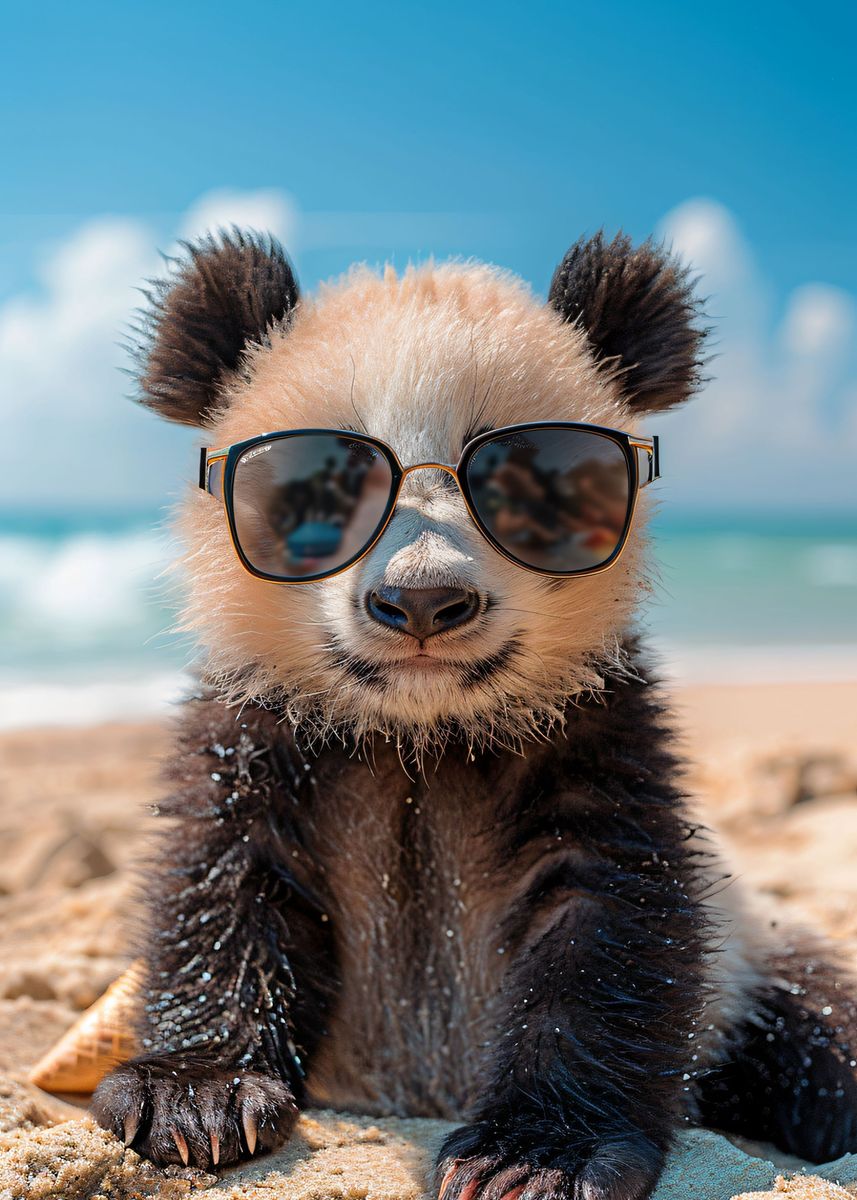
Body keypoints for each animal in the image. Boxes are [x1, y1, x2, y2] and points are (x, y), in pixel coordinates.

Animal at [92, 230, 857, 1198]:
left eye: (530, 485)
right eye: (317, 489)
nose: (422, 602)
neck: (419, 732)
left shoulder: (591, 727)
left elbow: (609, 917)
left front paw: (532, 1154)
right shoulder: (262, 726)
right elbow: (221, 880)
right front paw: (193, 1097)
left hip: (755, 959)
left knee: (821, 1027)